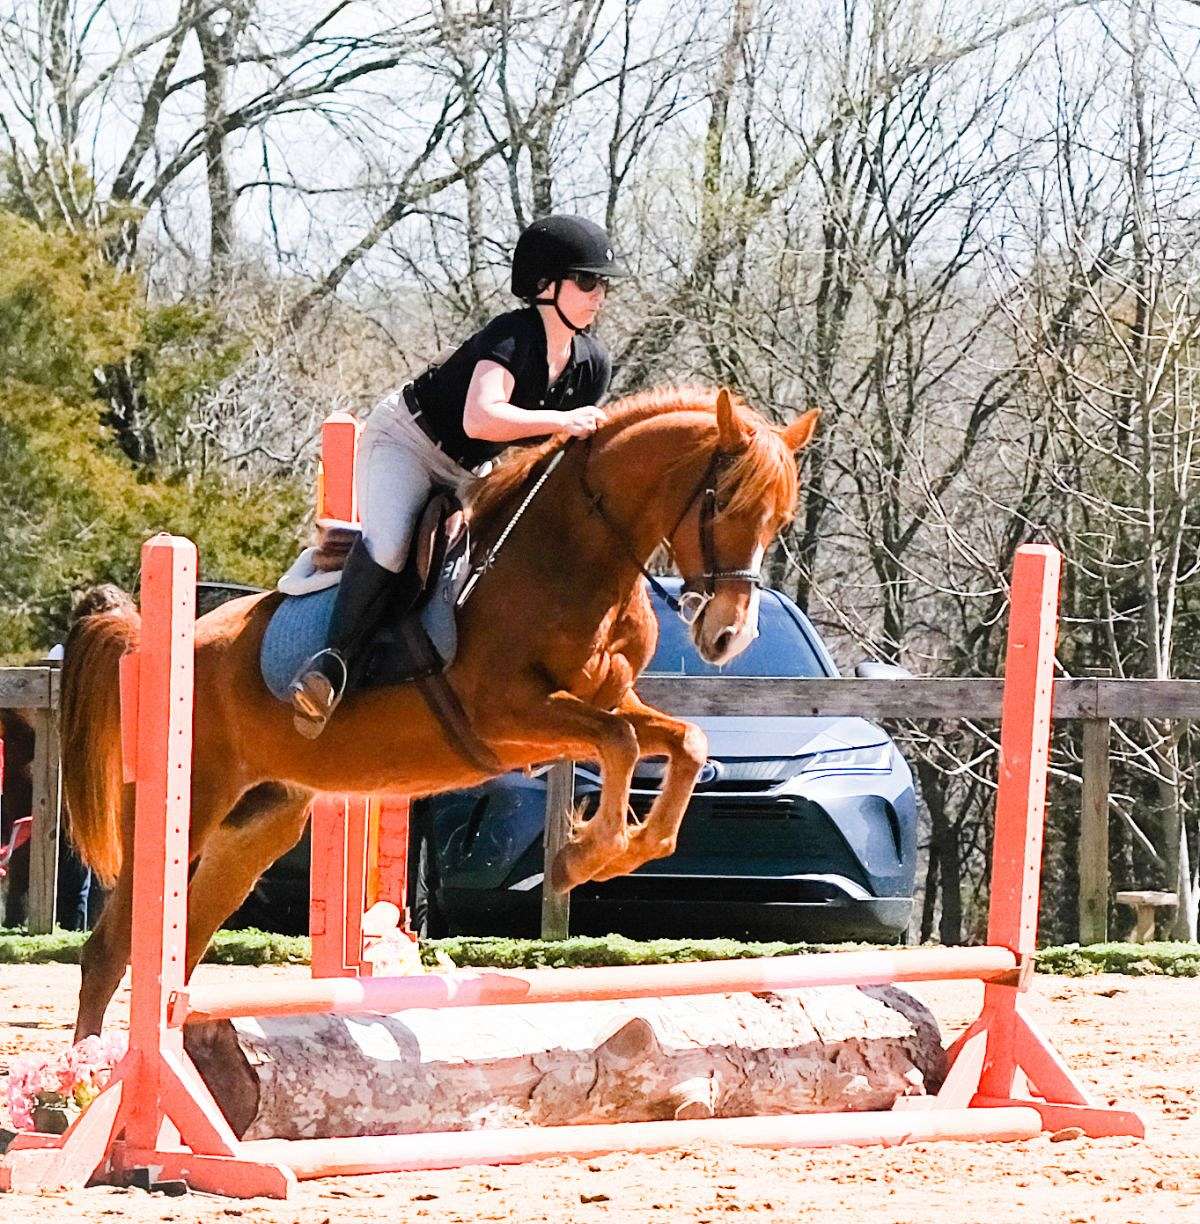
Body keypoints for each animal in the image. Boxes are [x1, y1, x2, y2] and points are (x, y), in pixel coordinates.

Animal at [59, 385, 819, 1038]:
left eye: (780, 520)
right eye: (721, 503)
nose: (728, 637)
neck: (572, 557)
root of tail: (148, 643)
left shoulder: (604, 702)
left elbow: (680, 740)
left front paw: (616, 849)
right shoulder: (509, 716)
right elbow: (621, 745)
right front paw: (584, 853)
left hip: (255, 824)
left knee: (181, 948)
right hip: (185, 809)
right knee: (110, 948)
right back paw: (79, 1088)